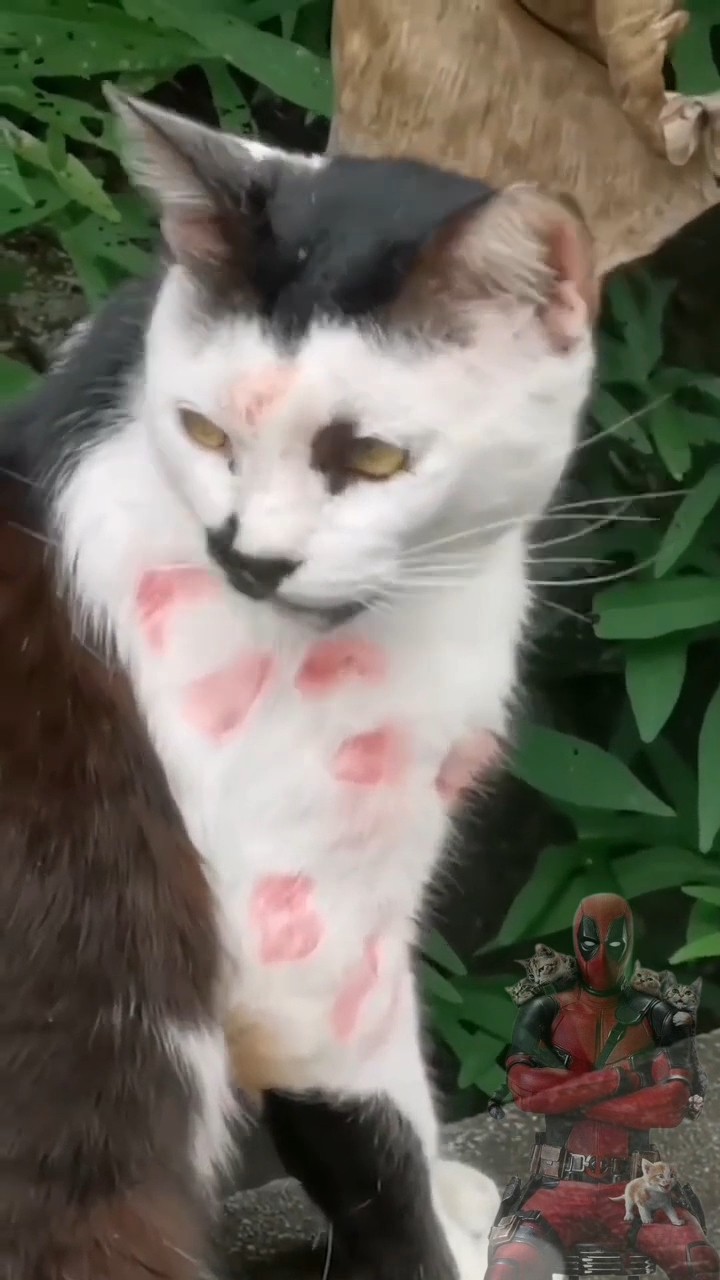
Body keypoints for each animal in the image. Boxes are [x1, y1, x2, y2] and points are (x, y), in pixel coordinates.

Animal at [2, 87, 598, 1280]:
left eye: (371, 459)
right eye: (203, 430)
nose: (251, 557)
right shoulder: (311, 954)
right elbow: (381, 1155)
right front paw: (451, 1238)